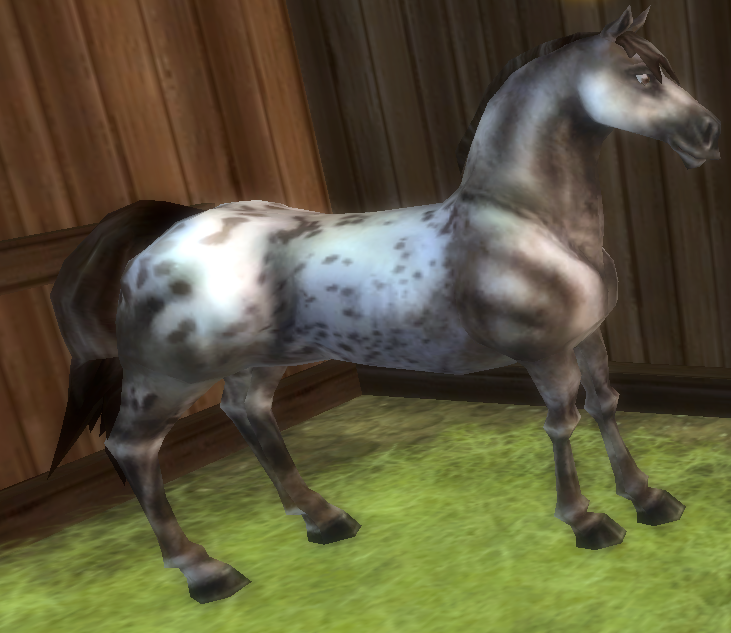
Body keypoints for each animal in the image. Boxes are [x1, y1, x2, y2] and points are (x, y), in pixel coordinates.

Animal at [48, 6, 720, 604]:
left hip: (261, 360)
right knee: (133, 450)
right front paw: (587, 522)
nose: (708, 135)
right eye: (642, 76)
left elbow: (606, 405)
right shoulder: (545, 355)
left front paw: (650, 499)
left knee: (248, 413)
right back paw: (205, 573)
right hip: (167, 377)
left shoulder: (586, 338)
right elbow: (563, 424)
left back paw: (324, 520)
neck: (531, 224)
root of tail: (174, 228)